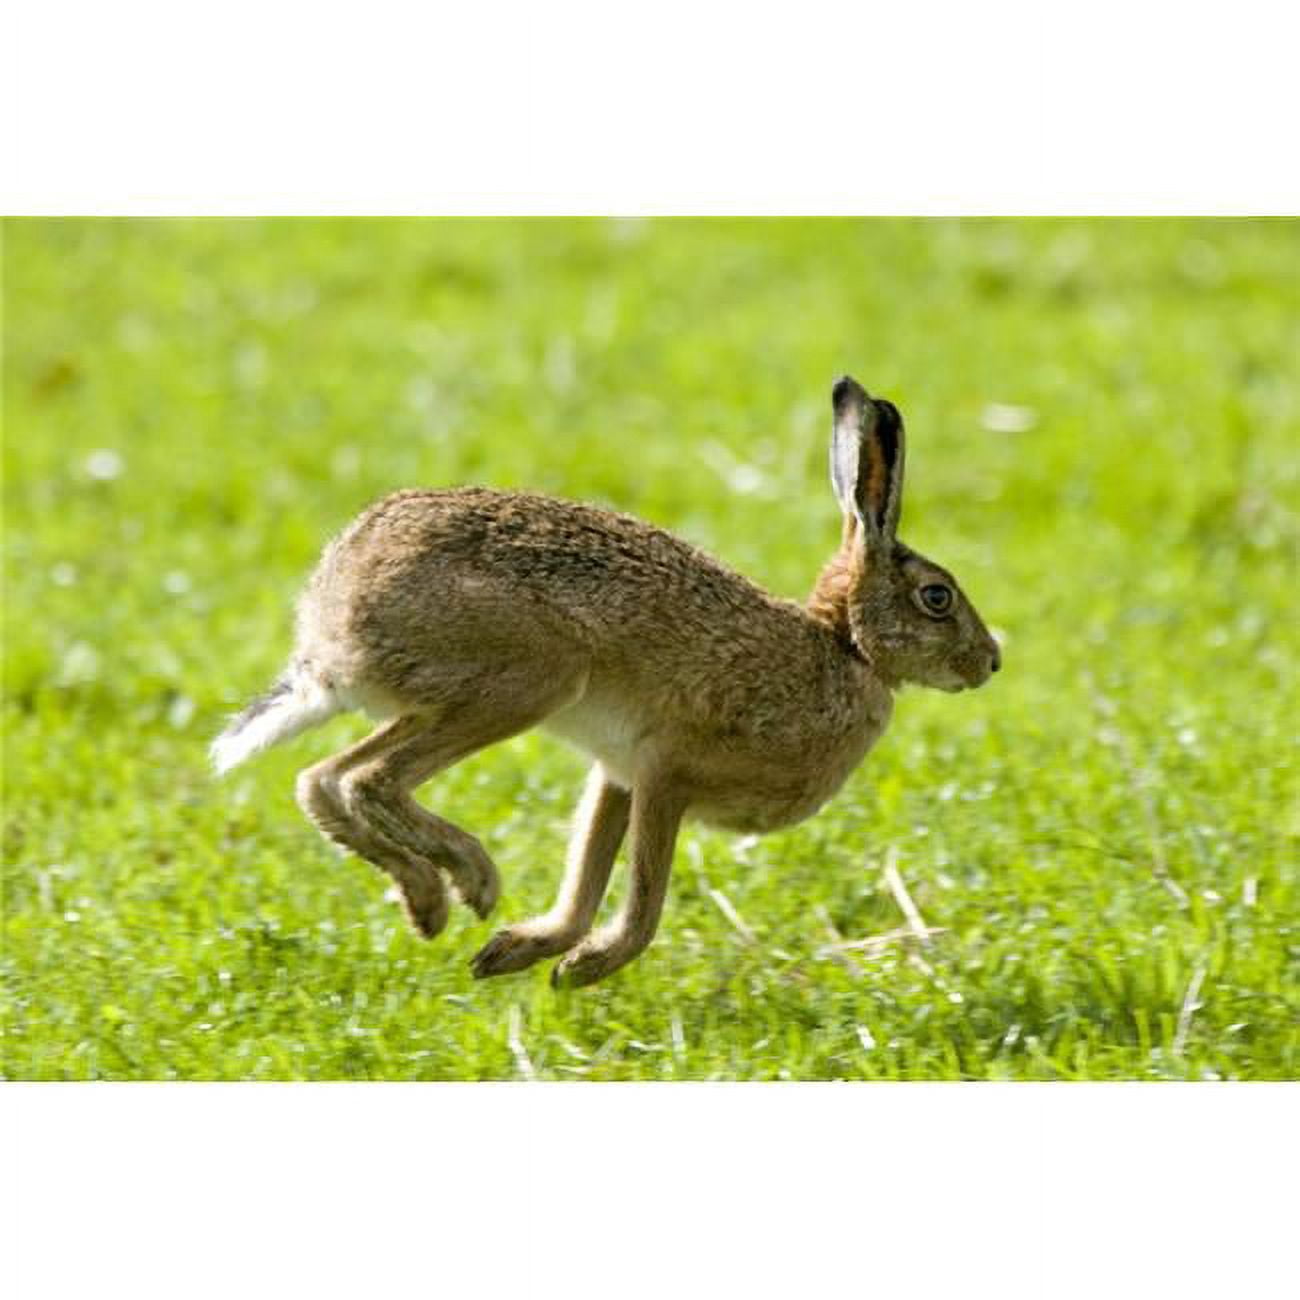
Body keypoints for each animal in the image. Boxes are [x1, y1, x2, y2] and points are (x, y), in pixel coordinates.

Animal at [210, 375, 1000, 987]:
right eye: (937, 597)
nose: (990, 662)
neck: (848, 648)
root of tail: (329, 628)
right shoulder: (668, 775)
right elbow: (643, 903)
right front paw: (586, 968)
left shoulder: (619, 776)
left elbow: (586, 878)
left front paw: (523, 953)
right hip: (525, 683)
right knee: (366, 779)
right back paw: (467, 877)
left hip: (453, 698)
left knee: (321, 780)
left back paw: (428, 902)